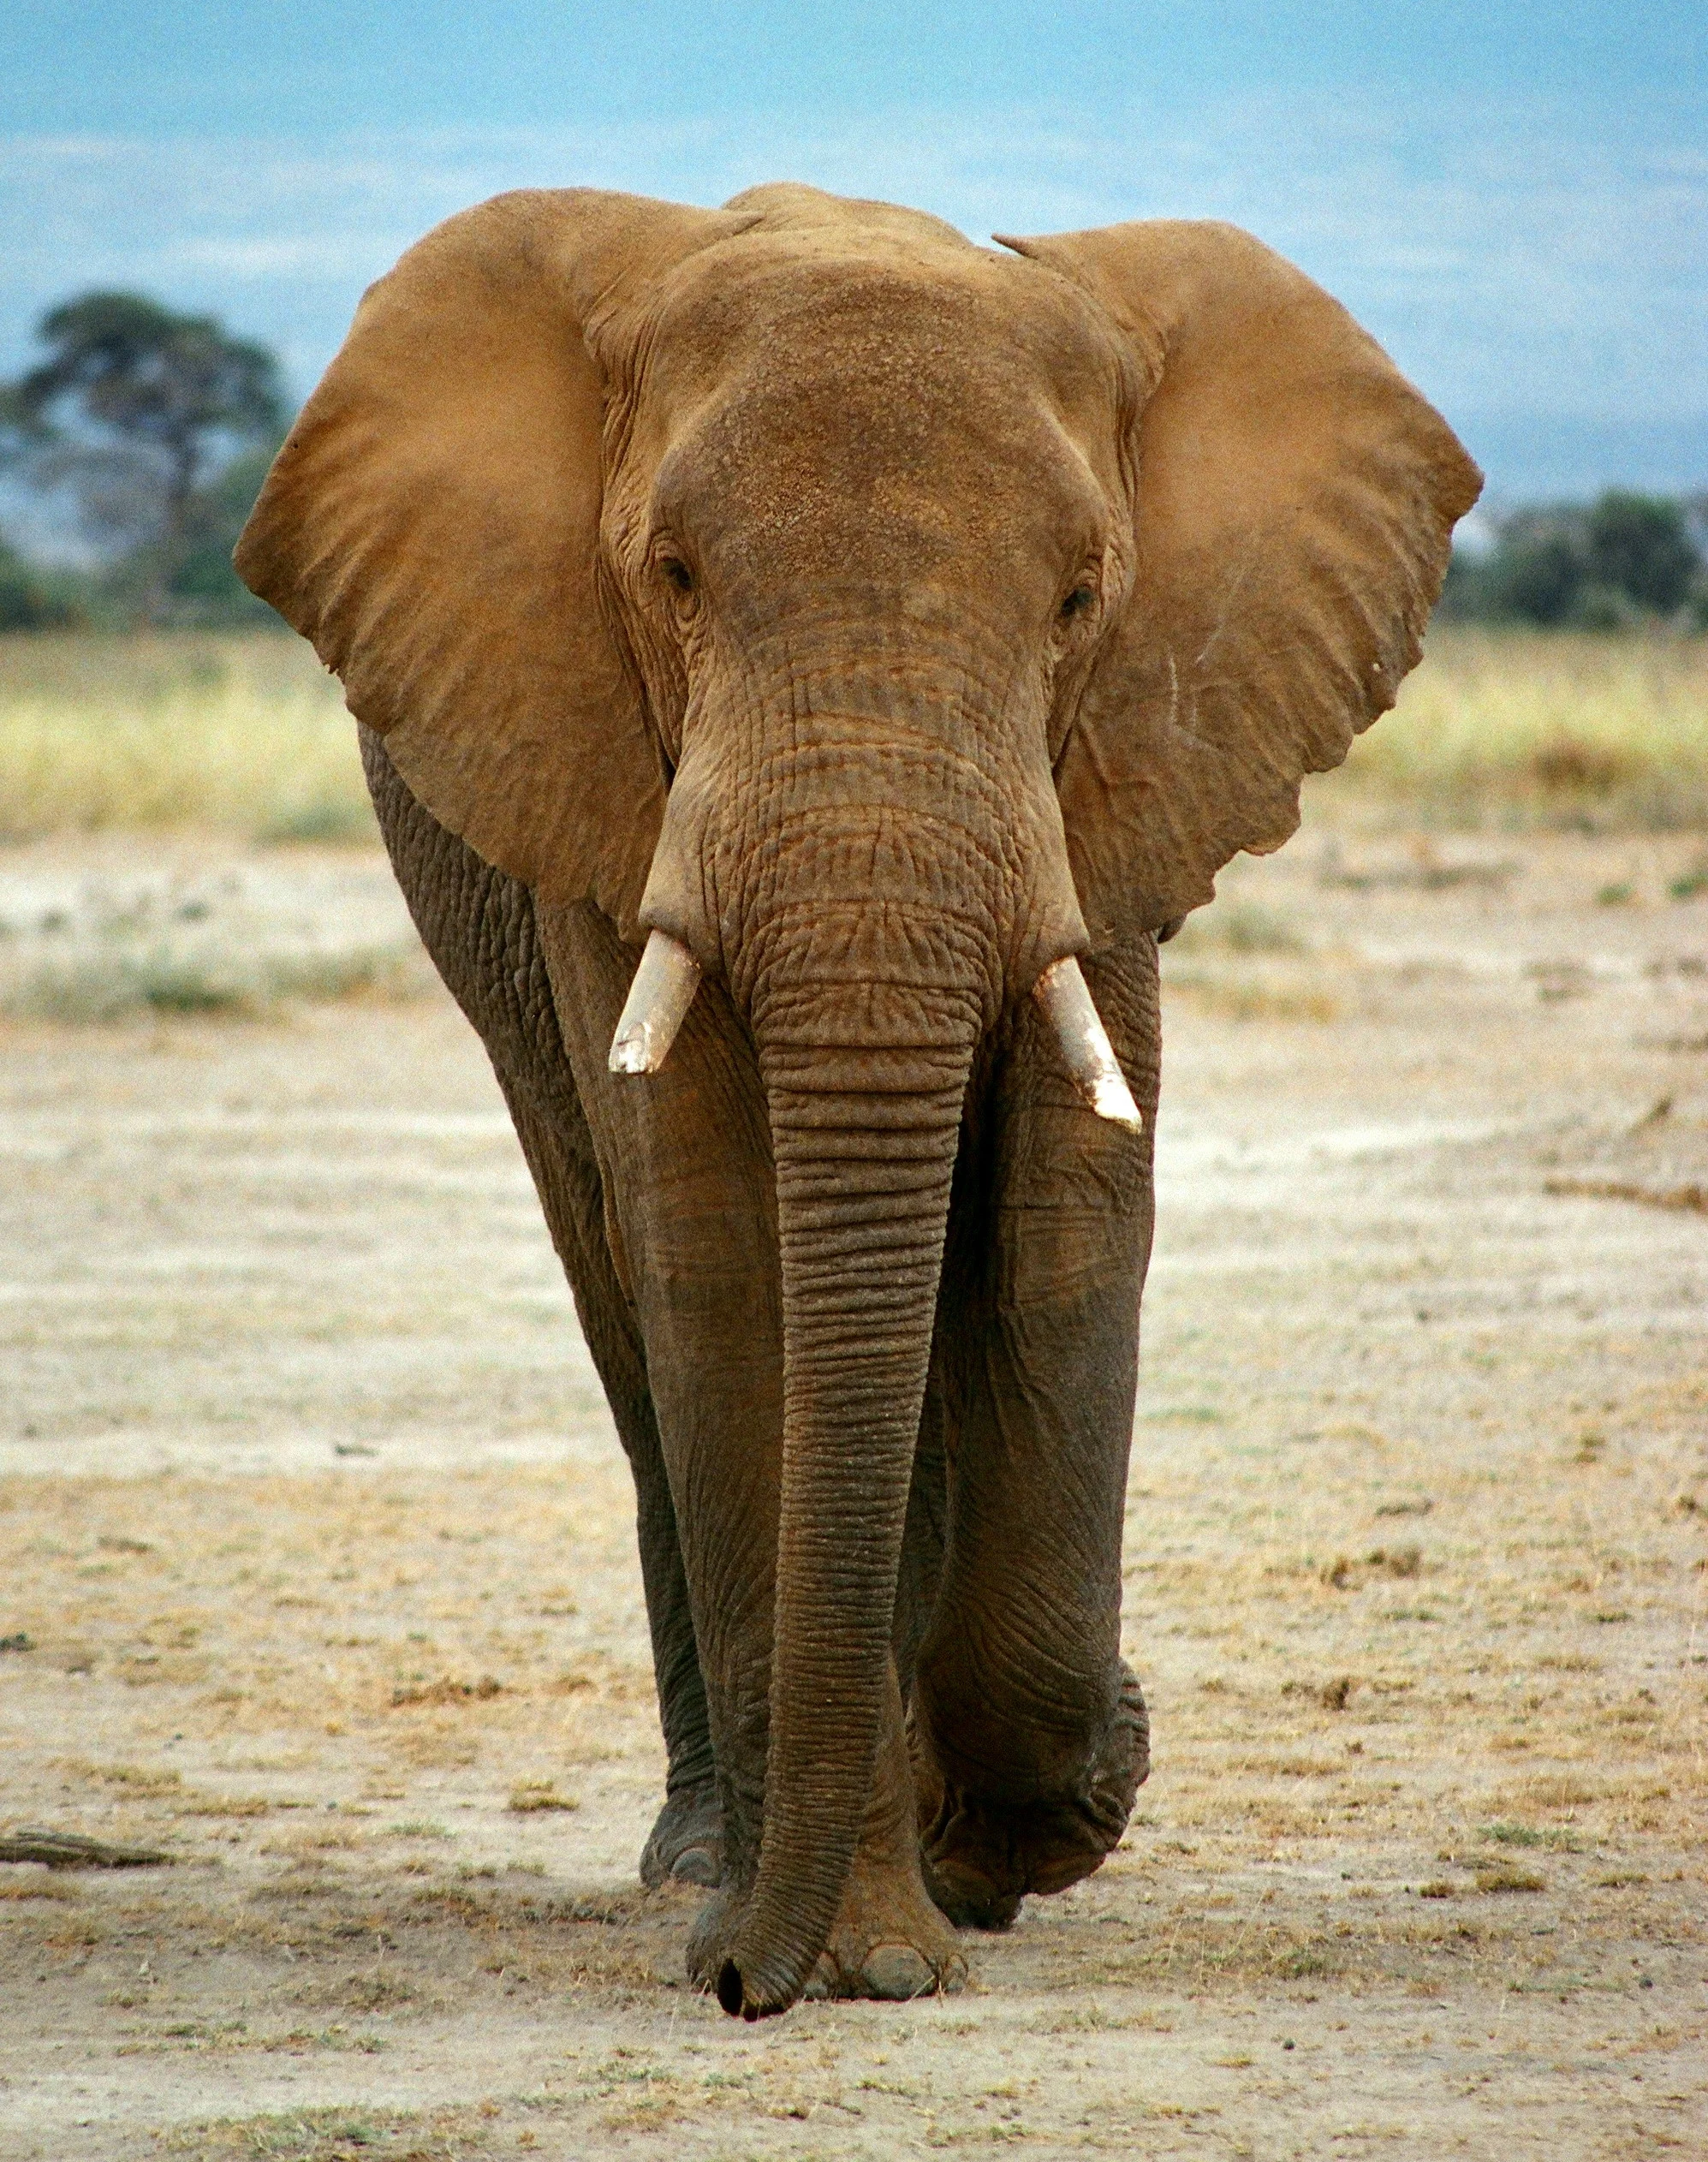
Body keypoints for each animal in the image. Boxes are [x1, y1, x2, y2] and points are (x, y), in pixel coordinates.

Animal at [235, 182, 1479, 2018]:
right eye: (670, 578)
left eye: (1082, 597)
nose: (740, 1988)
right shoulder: (606, 778)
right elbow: (716, 1247)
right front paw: (870, 1952)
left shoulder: (1112, 779)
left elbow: (1061, 1225)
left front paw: (1022, 1824)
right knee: (627, 1311)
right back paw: (711, 1858)